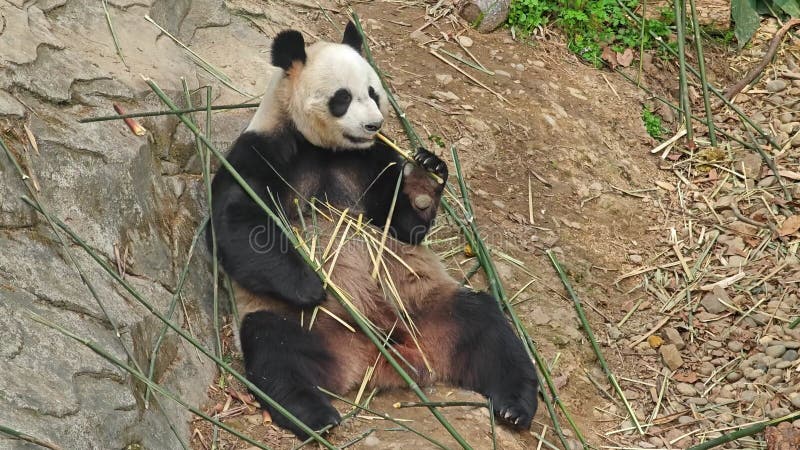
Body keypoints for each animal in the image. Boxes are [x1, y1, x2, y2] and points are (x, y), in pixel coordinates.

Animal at [209, 22, 539, 439]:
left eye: (373, 92)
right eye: (342, 98)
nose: (374, 125)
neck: (325, 149)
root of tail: (379, 354)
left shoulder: (375, 159)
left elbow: (401, 228)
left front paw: (425, 180)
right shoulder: (262, 150)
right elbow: (237, 224)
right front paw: (312, 283)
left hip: (426, 302)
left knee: (487, 326)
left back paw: (515, 406)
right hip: (300, 321)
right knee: (276, 351)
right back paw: (315, 415)